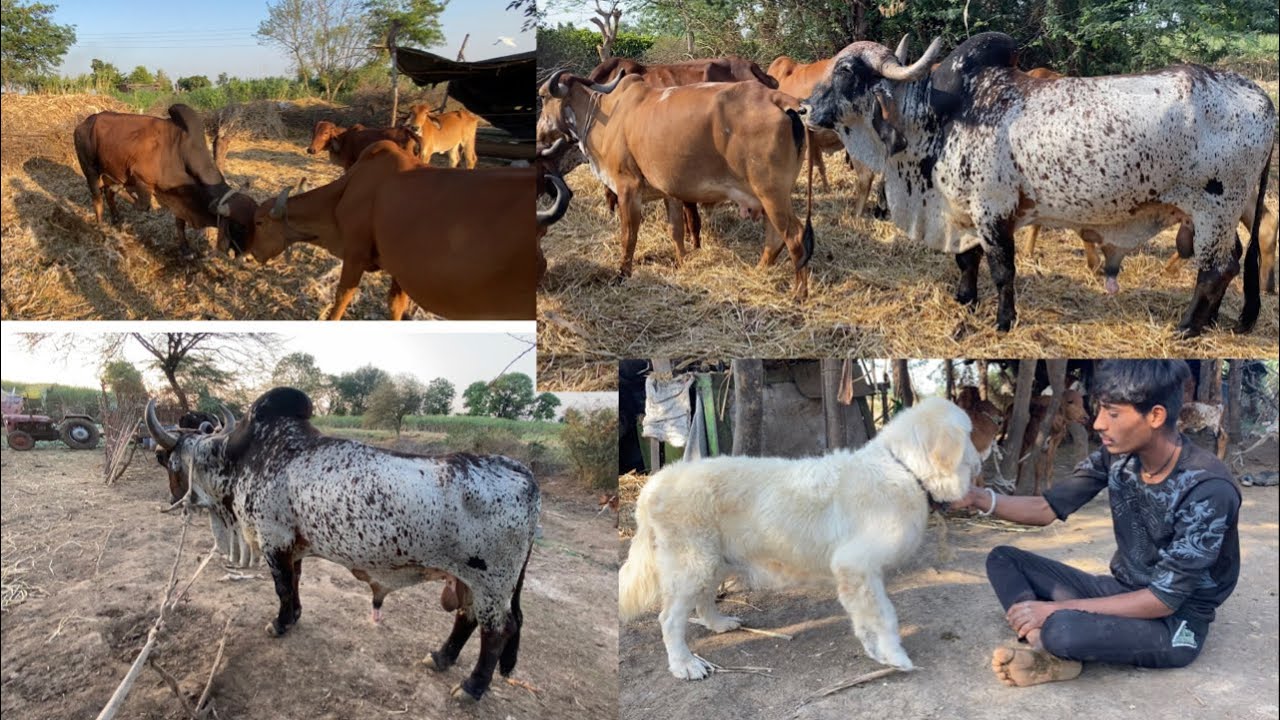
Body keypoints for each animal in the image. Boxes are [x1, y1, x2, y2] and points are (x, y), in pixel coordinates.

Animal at [73, 104, 257, 254]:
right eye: (239, 226)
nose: (247, 254)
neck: (180, 152)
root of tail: (83, 124)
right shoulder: (141, 179)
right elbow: (144, 206)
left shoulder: (181, 195)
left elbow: (180, 223)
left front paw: (185, 248)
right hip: (90, 169)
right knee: (98, 197)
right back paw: (100, 227)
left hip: (109, 168)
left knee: (108, 196)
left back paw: (117, 219)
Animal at [146, 388, 539, 702]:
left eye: (172, 464)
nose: (173, 498)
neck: (242, 456)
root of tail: (525, 475)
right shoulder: (292, 547)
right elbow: (295, 583)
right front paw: (295, 616)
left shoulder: (273, 540)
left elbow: (282, 588)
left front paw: (280, 624)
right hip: (467, 580)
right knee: (466, 618)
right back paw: (440, 658)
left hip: (491, 583)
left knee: (498, 631)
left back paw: (471, 688)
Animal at [245, 141, 536, 320]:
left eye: (259, 223)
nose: (250, 255)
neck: (345, 194)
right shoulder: (400, 271)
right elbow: (395, 306)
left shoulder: (355, 255)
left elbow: (341, 299)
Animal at [539, 70, 816, 299]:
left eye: (542, 97)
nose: (539, 133)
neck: (606, 116)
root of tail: (780, 100)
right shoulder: (668, 192)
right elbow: (676, 231)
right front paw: (682, 261)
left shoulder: (628, 188)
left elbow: (628, 235)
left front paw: (622, 273)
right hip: (770, 197)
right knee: (775, 238)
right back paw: (758, 272)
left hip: (771, 193)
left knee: (794, 237)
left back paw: (799, 293)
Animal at [804, 32, 1275, 336]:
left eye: (845, 71)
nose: (805, 108)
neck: (944, 112)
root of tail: (1259, 96)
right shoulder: (965, 211)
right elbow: (967, 260)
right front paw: (964, 299)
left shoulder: (993, 210)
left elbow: (1002, 270)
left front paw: (1003, 321)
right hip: (1220, 212)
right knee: (1232, 261)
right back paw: (1210, 321)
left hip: (1215, 206)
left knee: (1217, 268)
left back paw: (1188, 327)